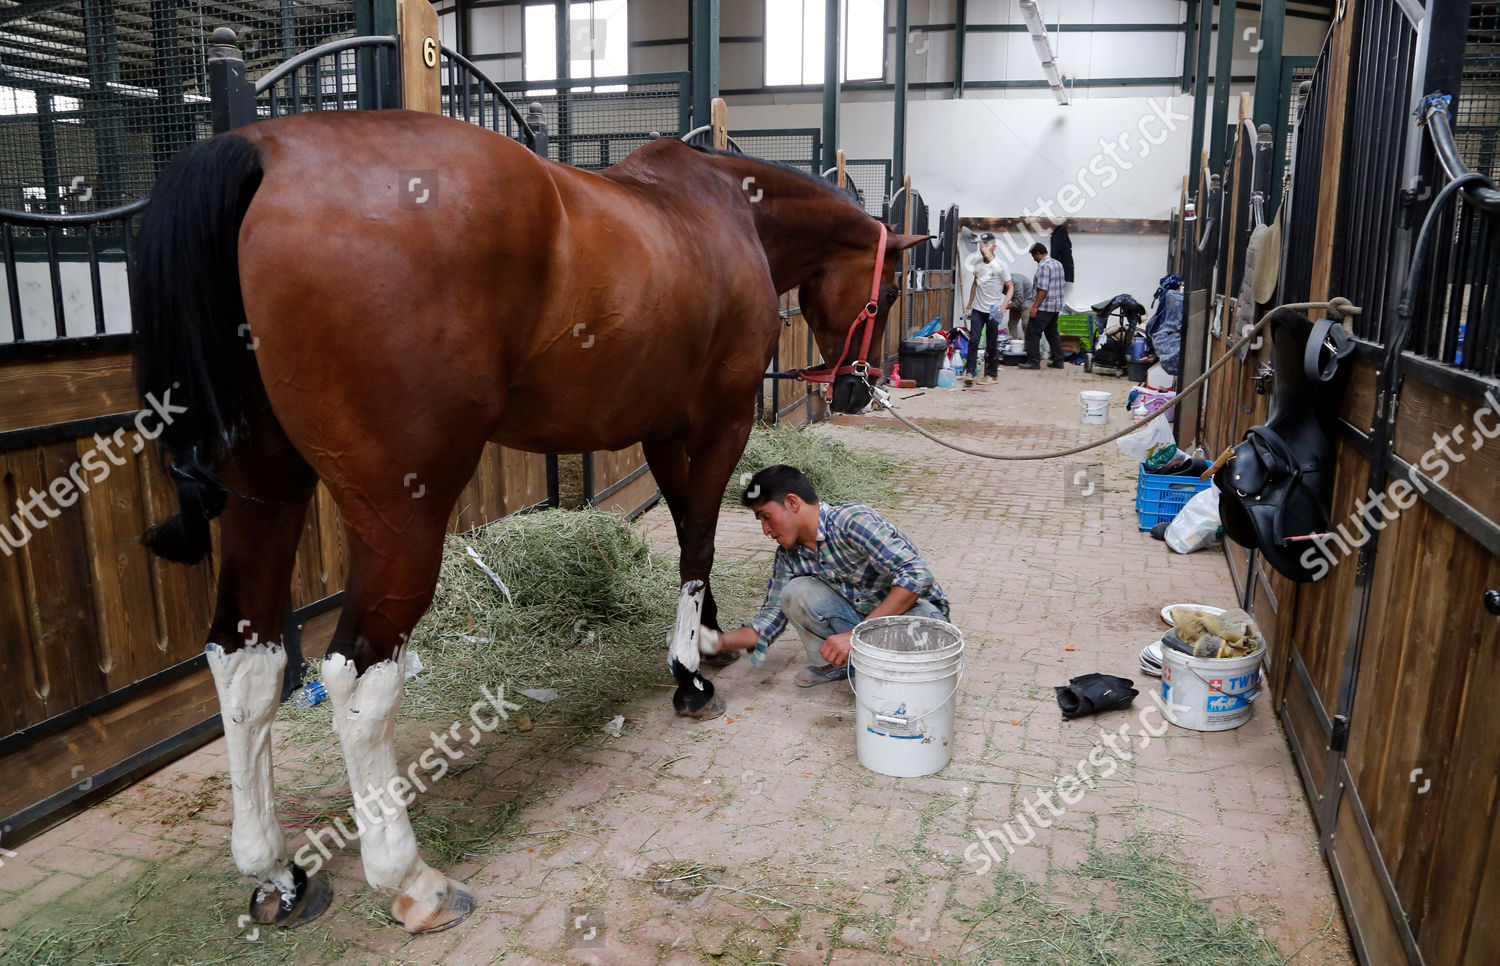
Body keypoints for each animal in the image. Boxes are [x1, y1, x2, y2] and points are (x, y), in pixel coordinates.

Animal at [130, 108, 922, 935]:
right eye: (894, 285)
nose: (859, 388)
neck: (725, 211)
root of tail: (264, 151)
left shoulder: (663, 430)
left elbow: (686, 534)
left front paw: (706, 642)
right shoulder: (719, 423)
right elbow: (700, 538)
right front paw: (689, 675)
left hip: (265, 494)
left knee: (244, 661)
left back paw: (277, 873)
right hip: (399, 516)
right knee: (356, 679)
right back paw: (411, 879)